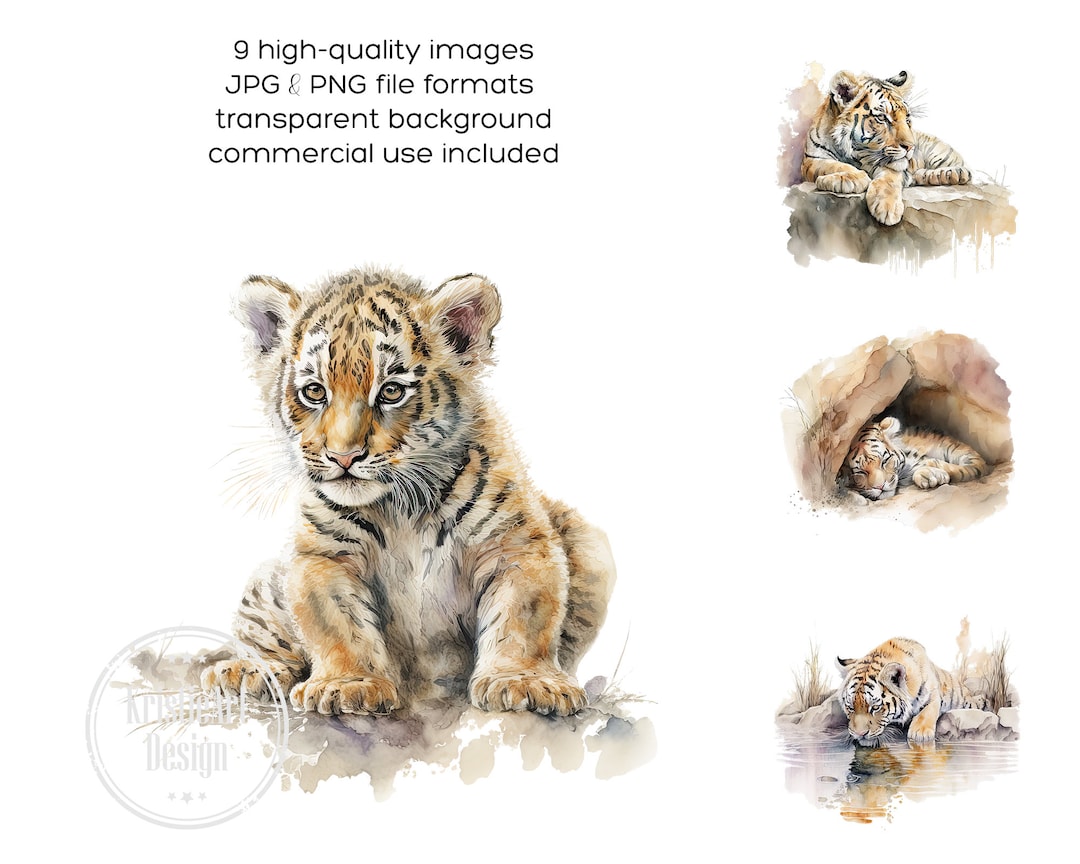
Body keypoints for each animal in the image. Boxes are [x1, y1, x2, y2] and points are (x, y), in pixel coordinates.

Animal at [201, 267, 616, 718]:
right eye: (314, 392)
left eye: (391, 391)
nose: (343, 456)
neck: (402, 509)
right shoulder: (324, 555)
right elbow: (335, 623)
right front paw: (348, 684)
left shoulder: (516, 544)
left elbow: (523, 616)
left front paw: (523, 680)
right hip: (264, 583)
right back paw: (248, 671)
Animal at [802, 70, 971, 226]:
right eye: (882, 118)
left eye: (907, 118)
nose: (911, 146)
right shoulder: (811, 160)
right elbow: (834, 165)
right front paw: (848, 179)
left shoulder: (893, 167)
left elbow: (889, 179)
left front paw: (888, 210)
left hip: (939, 153)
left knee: (963, 169)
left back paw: (952, 173)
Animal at [837, 638, 985, 745]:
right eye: (850, 707)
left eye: (875, 707)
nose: (859, 734)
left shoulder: (933, 693)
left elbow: (928, 710)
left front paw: (920, 733)